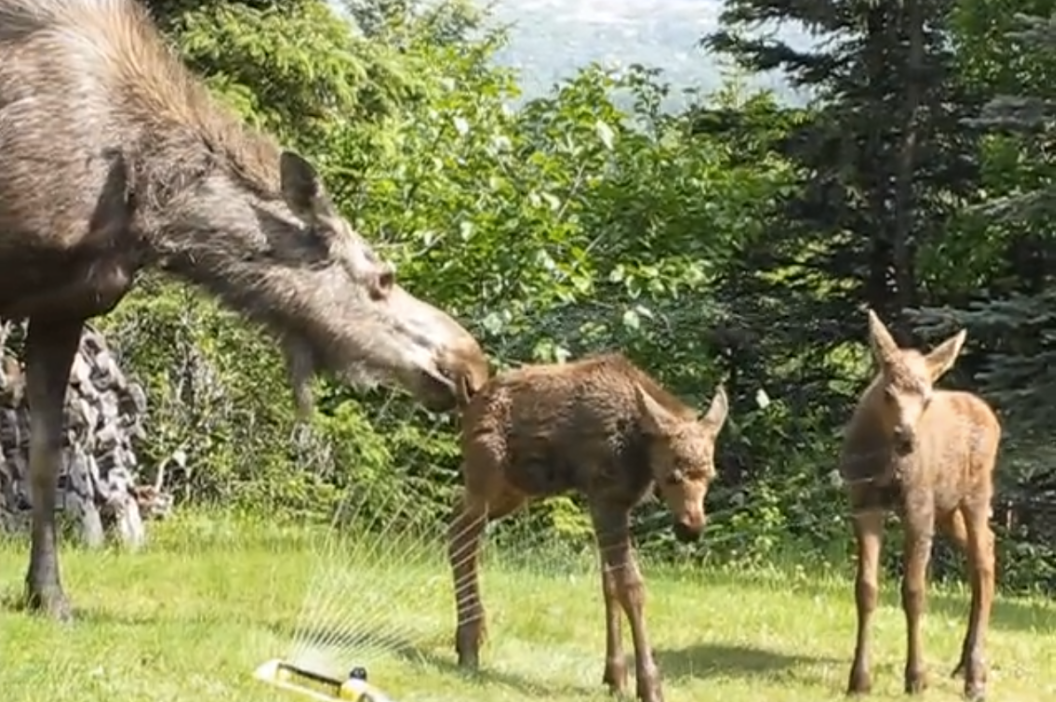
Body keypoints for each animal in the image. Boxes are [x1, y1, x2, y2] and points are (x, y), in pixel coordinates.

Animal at [0, 0, 489, 621]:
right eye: (383, 278)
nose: (471, 364)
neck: (146, 198)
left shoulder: (65, 306)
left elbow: (46, 459)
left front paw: (48, 594)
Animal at [447, 352, 729, 702]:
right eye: (672, 476)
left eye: (711, 476)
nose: (692, 527)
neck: (640, 451)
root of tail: (467, 403)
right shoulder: (607, 498)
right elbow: (630, 587)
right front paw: (649, 684)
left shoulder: (612, 502)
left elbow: (609, 584)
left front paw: (615, 675)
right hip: (487, 477)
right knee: (462, 537)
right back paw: (469, 644)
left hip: (514, 489)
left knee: (457, 528)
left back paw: (472, 636)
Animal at [840, 309, 1001, 702]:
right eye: (888, 392)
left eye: (927, 399)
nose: (907, 437)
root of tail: (991, 415)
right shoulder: (863, 504)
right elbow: (865, 588)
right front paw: (859, 680)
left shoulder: (918, 507)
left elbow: (913, 590)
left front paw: (916, 677)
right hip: (947, 508)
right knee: (987, 548)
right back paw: (964, 664)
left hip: (976, 493)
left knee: (983, 560)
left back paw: (976, 675)